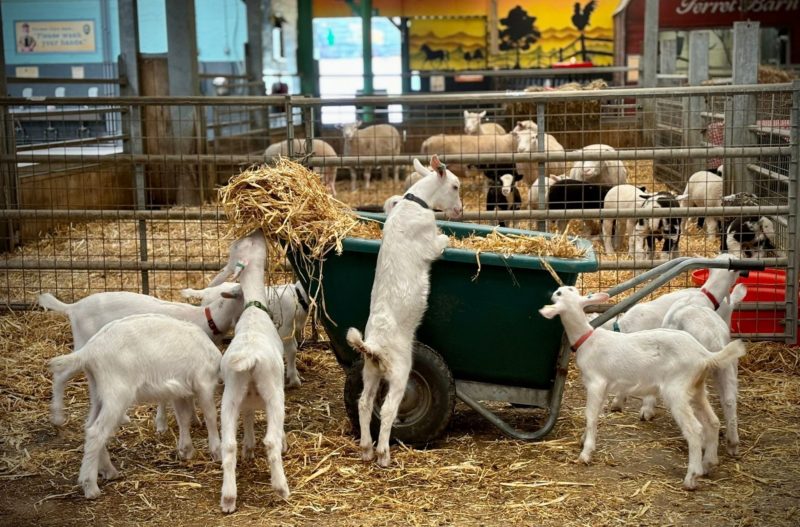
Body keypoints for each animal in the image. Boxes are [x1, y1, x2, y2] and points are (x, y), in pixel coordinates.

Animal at [48, 314, 222, 499]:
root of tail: (89, 352)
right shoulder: (204, 383)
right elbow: (210, 416)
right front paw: (217, 451)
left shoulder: (181, 390)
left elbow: (183, 417)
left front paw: (186, 450)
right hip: (117, 392)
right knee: (96, 432)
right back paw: (90, 487)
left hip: (98, 391)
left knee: (90, 427)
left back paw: (108, 471)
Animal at [217, 229, 289, 512]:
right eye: (249, 242)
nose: (259, 230)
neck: (254, 308)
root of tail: (248, 357)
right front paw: (284, 443)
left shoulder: (244, 398)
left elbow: (247, 417)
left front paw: (248, 448)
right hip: (273, 391)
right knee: (270, 440)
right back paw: (282, 488)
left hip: (230, 395)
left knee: (228, 445)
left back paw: (228, 498)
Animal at [346, 154, 462, 468]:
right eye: (456, 186)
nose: (460, 210)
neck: (415, 203)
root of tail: (373, 346)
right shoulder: (430, 242)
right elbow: (442, 242)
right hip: (399, 371)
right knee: (387, 409)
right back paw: (383, 454)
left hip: (370, 370)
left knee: (364, 402)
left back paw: (366, 449)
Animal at [539, 286, 746, 490]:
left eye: (560, 293)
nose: (552, 292)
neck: (587, 338)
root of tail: (704, 355)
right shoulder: (605, 386)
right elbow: (596, 414)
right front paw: (584, 440)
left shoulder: (595, 382)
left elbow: (589, 415)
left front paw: (586, 453)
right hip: (696, 388)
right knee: (713, 421)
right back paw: (708, 463)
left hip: (677, 390)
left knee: (694, 429)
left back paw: (692, 477)